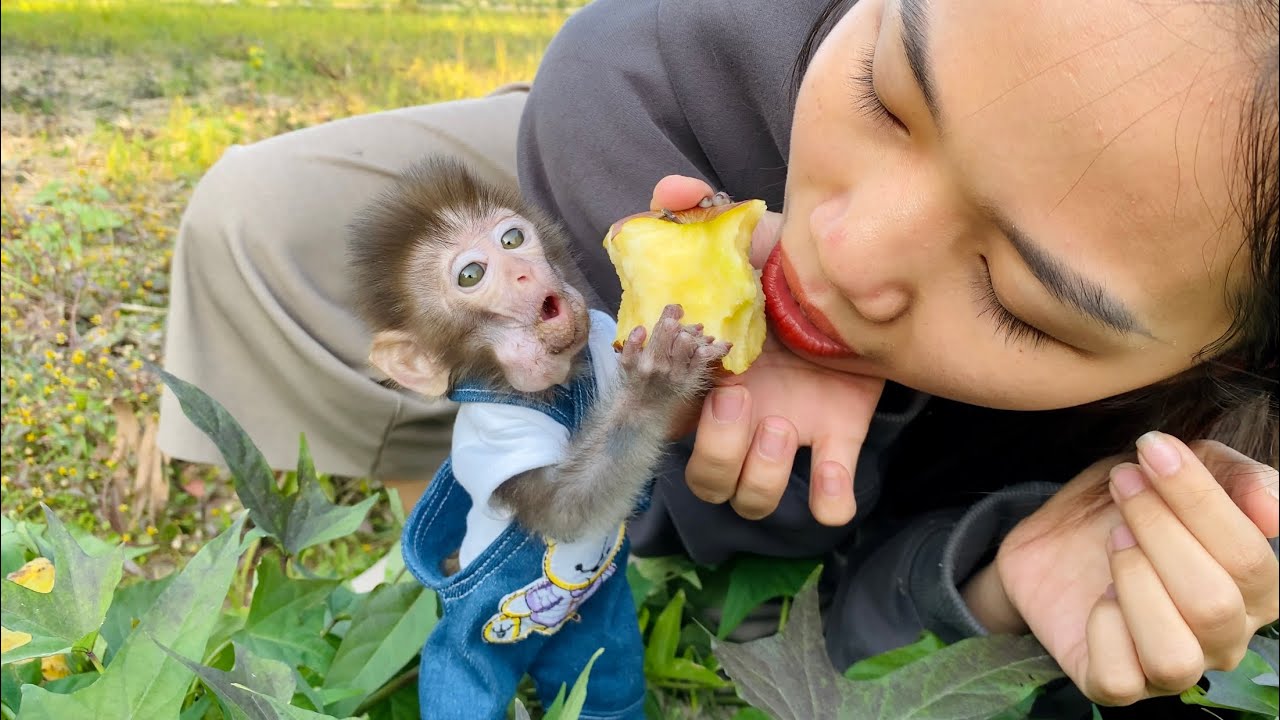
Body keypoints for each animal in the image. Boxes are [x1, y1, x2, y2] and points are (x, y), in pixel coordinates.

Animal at [345, 155, 729, 720]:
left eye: (511, 239)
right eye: (471, 275)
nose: (524, 271)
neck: (559, 387)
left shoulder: (601, 334)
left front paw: (703, 205)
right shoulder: (497, 436)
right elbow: (563, 512)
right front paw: (657, 377)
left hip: (593, 635)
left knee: (603, 686)